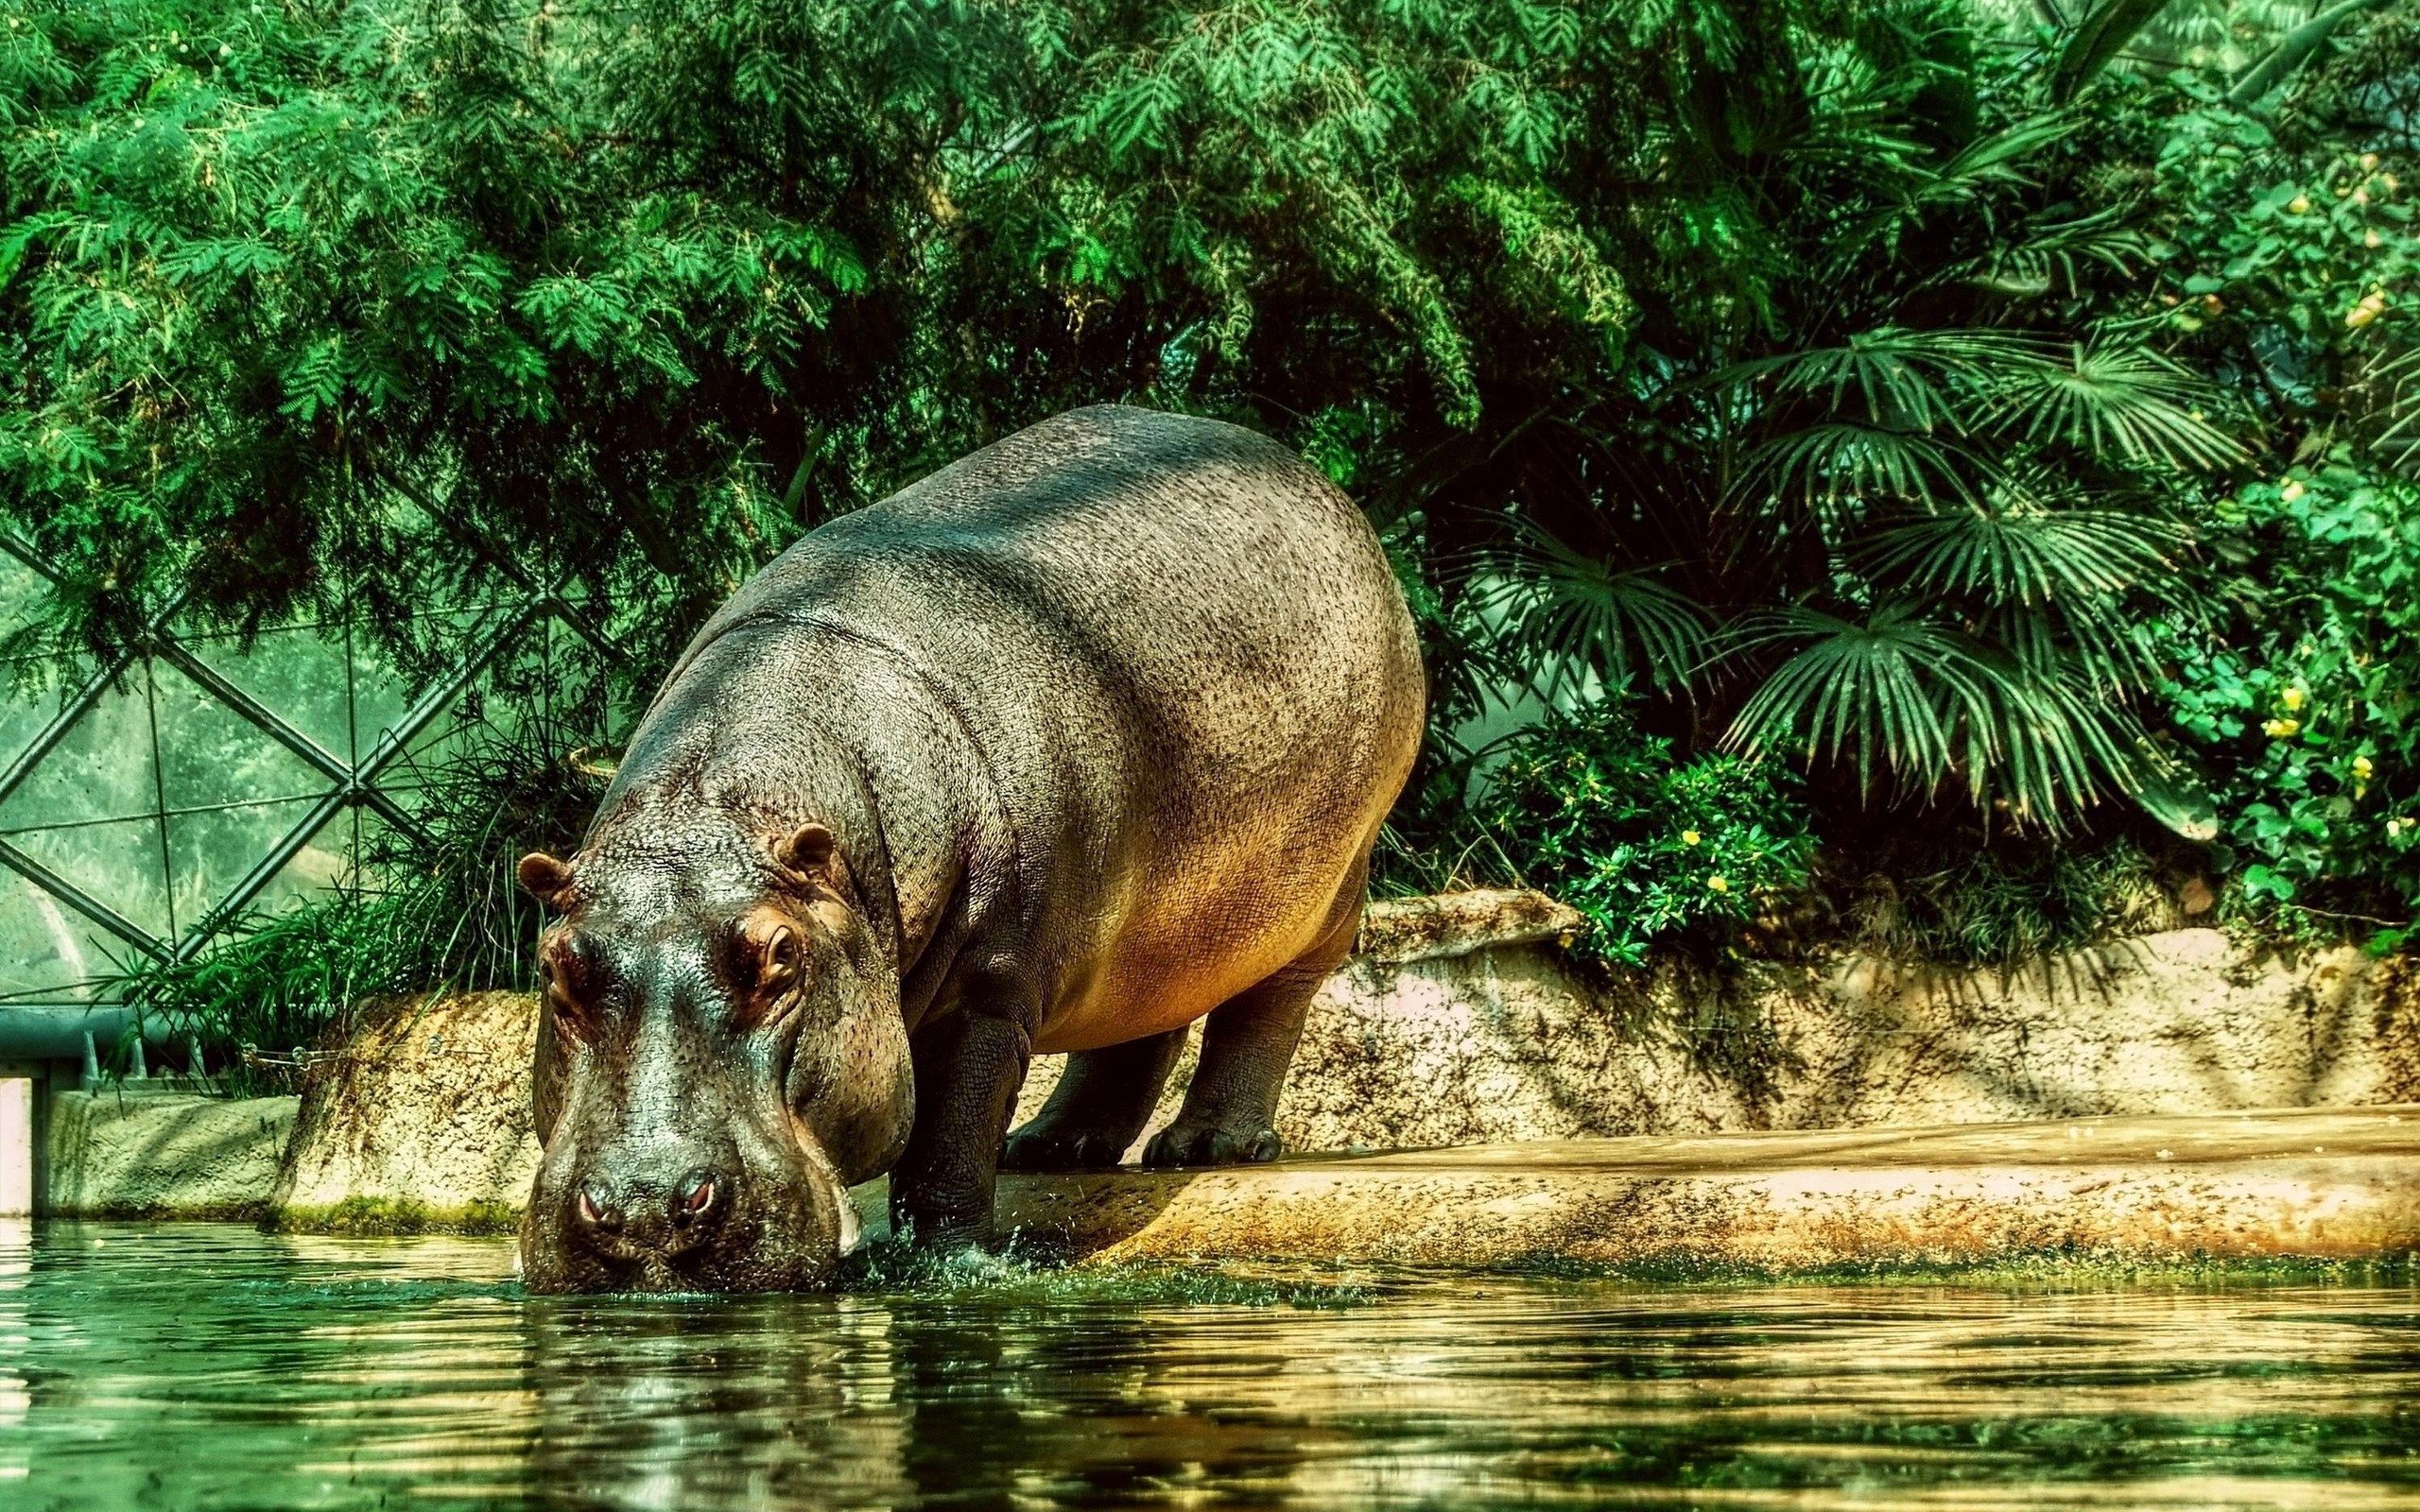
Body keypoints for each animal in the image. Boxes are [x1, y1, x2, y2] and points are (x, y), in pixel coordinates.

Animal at [513, 404, 1425, 1292]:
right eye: (555, 965)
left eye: (780, 957)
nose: (646, 1210)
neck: (722, 809)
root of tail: (1317, 484)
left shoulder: (989, 986)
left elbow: (949, 1142)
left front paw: (946, 1263)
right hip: (1154, 918)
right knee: (1144, 1022)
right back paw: (1051, 1148)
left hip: (1327, 886)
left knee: (1268, 1005)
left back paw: (1208, 1147)